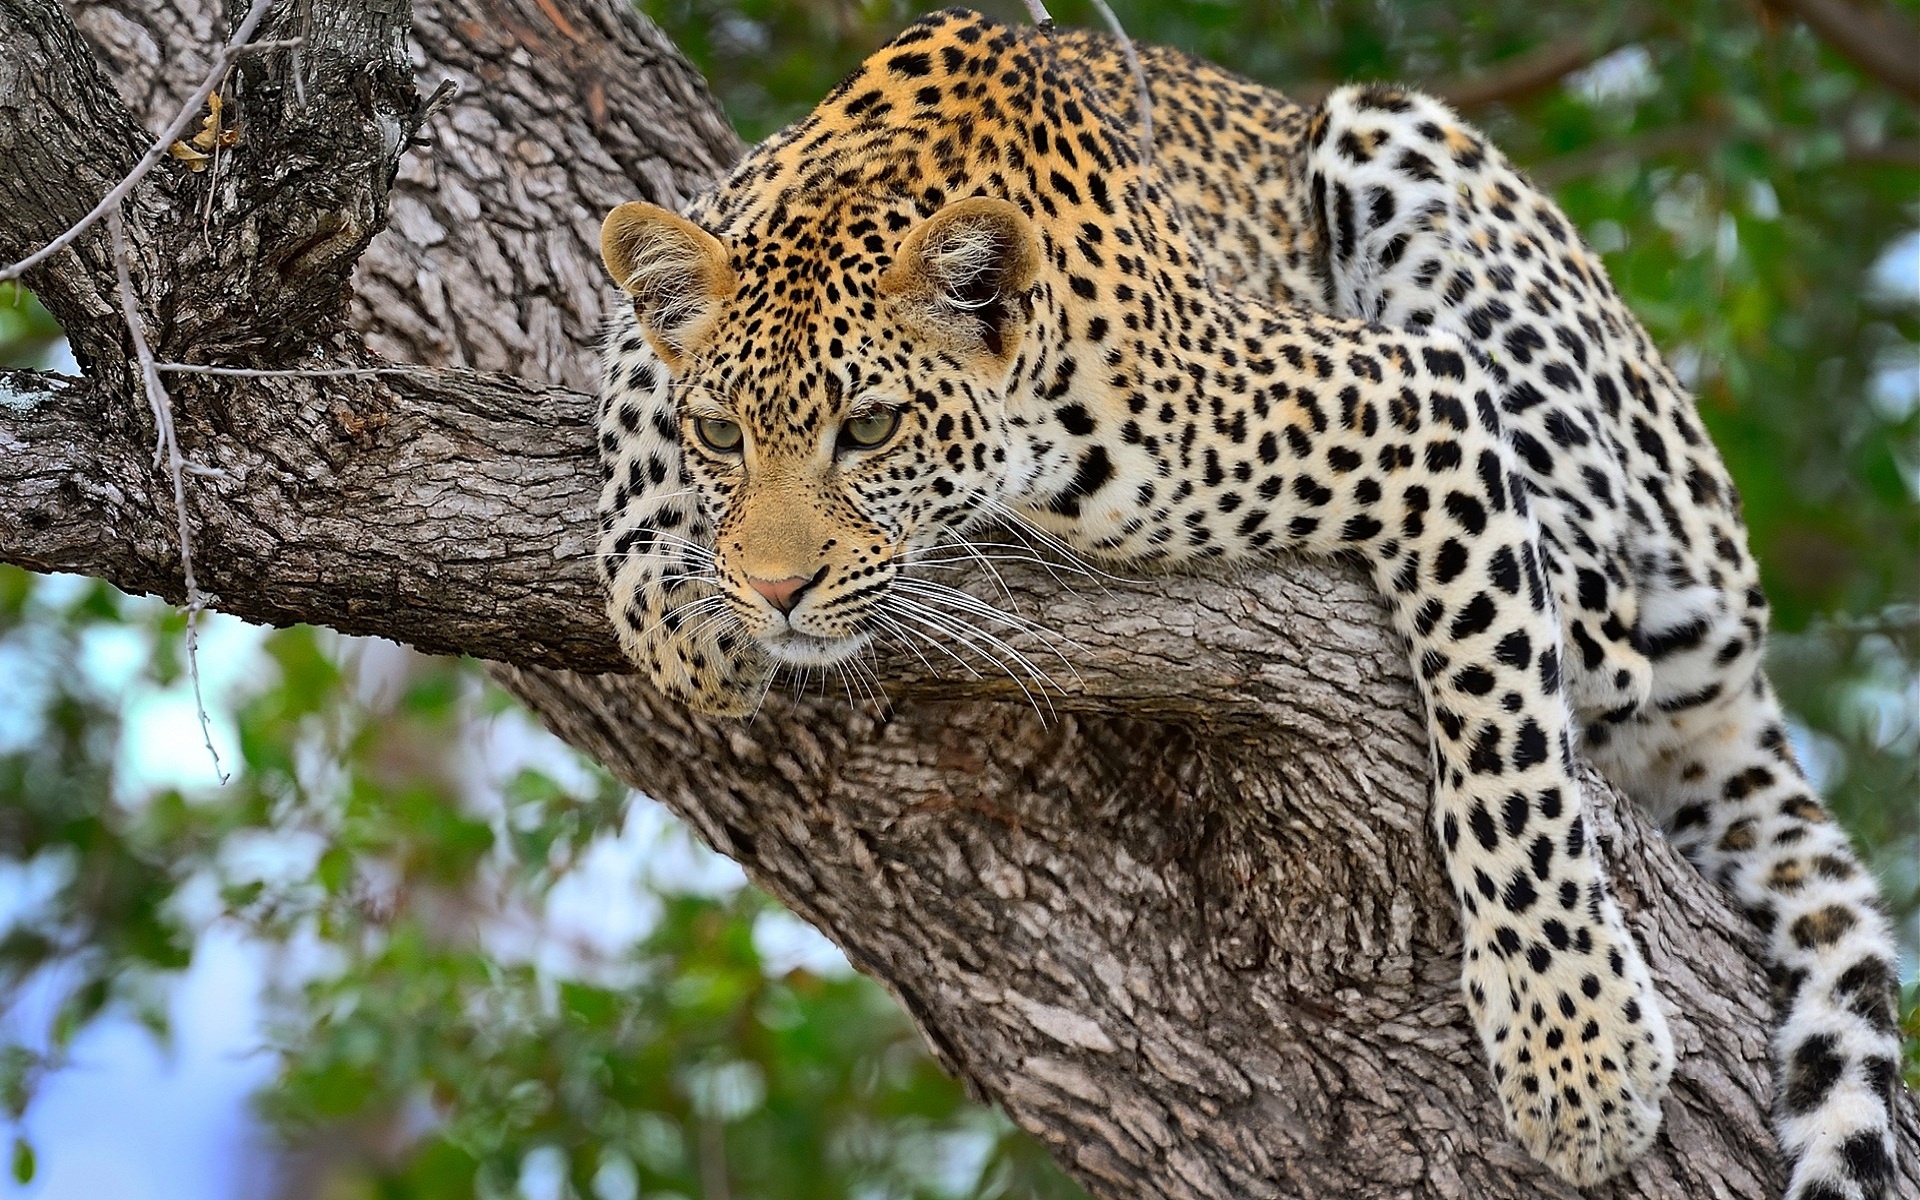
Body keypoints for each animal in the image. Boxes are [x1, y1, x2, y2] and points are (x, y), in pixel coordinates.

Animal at [591, 8, 1903, 1196]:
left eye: (868, 429)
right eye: (724, 435)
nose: (774, 591)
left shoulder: (1418, 405)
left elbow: (1508, 758)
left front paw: (1573, 1048)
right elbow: (626, 384)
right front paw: (673, 601)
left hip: (1408, 155)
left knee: (1607, 625)